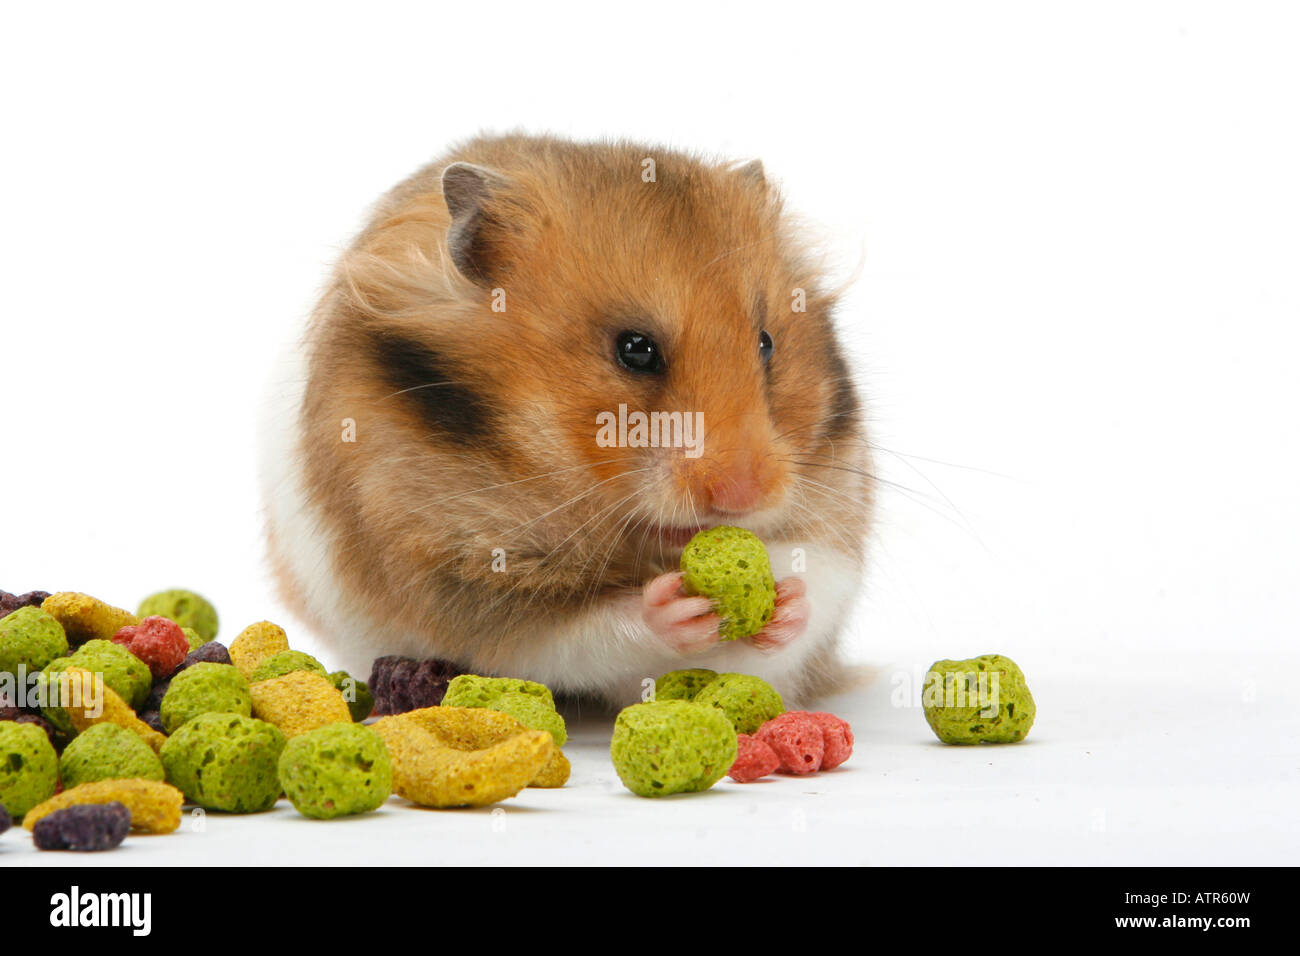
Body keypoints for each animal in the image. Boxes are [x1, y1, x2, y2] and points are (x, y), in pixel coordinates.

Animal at [260, 133, 873, 708]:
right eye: (635, 350)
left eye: (766, 343)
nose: (743, 497)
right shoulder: (457, 572)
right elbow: (574, 629)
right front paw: (671, 606)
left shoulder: (835, 521)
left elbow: (815, 585)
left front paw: (787, 601)